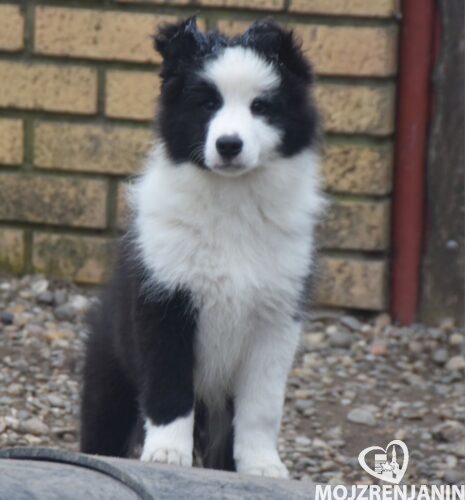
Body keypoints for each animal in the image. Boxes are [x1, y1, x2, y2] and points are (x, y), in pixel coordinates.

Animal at [80, 15, 322, 478]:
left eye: (260, 107)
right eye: (207, 104)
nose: (229, 145)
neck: (232, 201)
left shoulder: (276, 319)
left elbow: (262, 405)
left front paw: (263, 465)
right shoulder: (164, 305)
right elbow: (169, 385)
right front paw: (166, 453)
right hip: (109, 380)